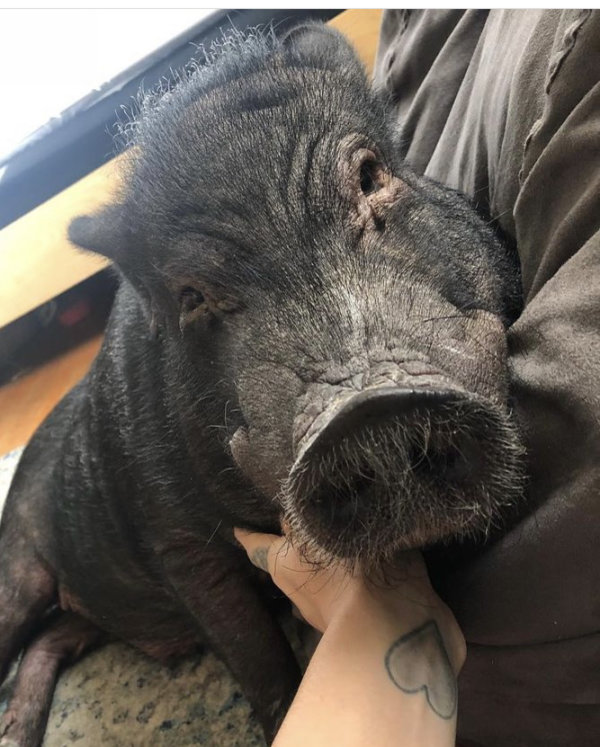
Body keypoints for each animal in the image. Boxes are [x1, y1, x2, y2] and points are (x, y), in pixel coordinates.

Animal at [0, 23, 523, 747]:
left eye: (371, 176)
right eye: (190, 295)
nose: (368, 410)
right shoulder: (176, 543)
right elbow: (257, 656)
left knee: (50, 639)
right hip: (18, 564)